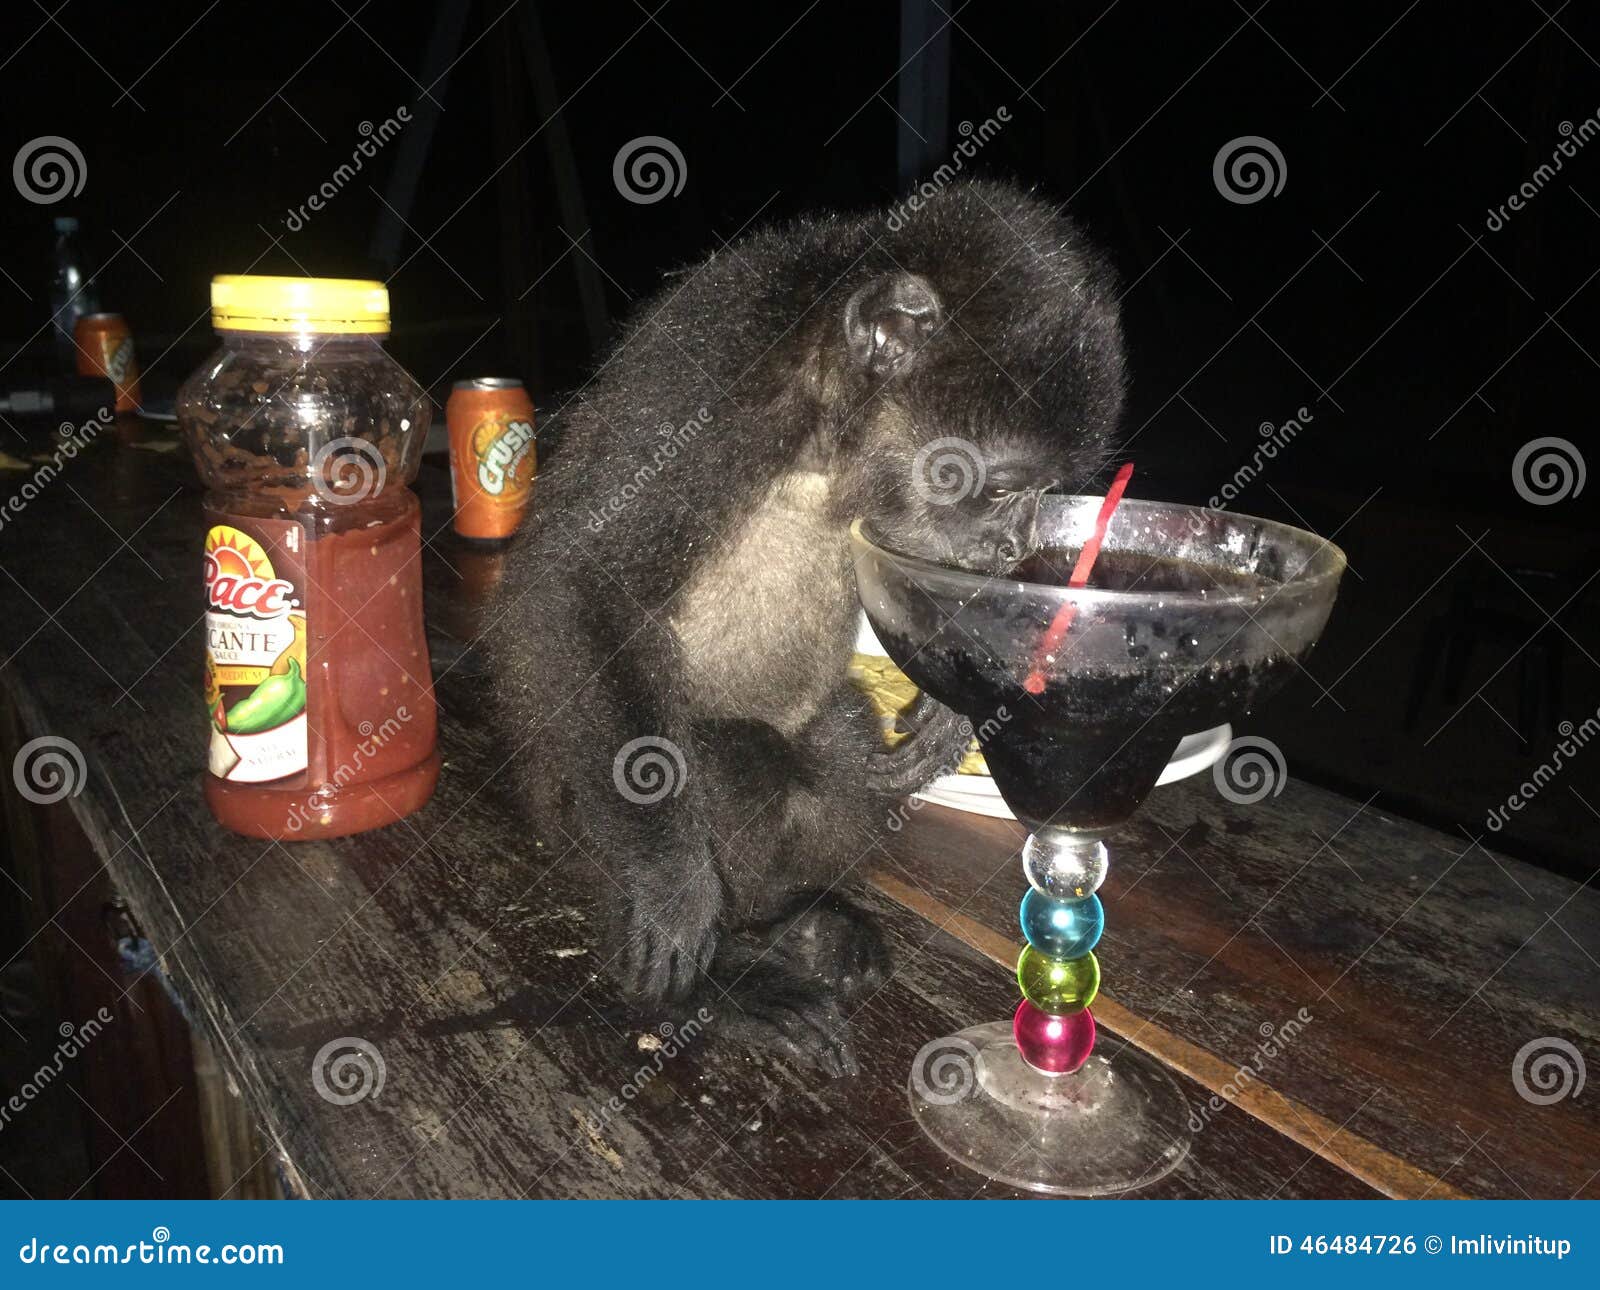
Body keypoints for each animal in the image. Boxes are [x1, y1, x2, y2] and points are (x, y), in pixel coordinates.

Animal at [488, 180, 1126, 1075]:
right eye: (1001, 490)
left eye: (1048, 493)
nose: (1012, 547)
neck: (831, 425)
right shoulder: (717, 377)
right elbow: (585, 581)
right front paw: (670, 890)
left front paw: (953, 711)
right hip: (580, 824)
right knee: (735, 763)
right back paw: (727, 976)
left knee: (840, 760)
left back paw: (798, 918)